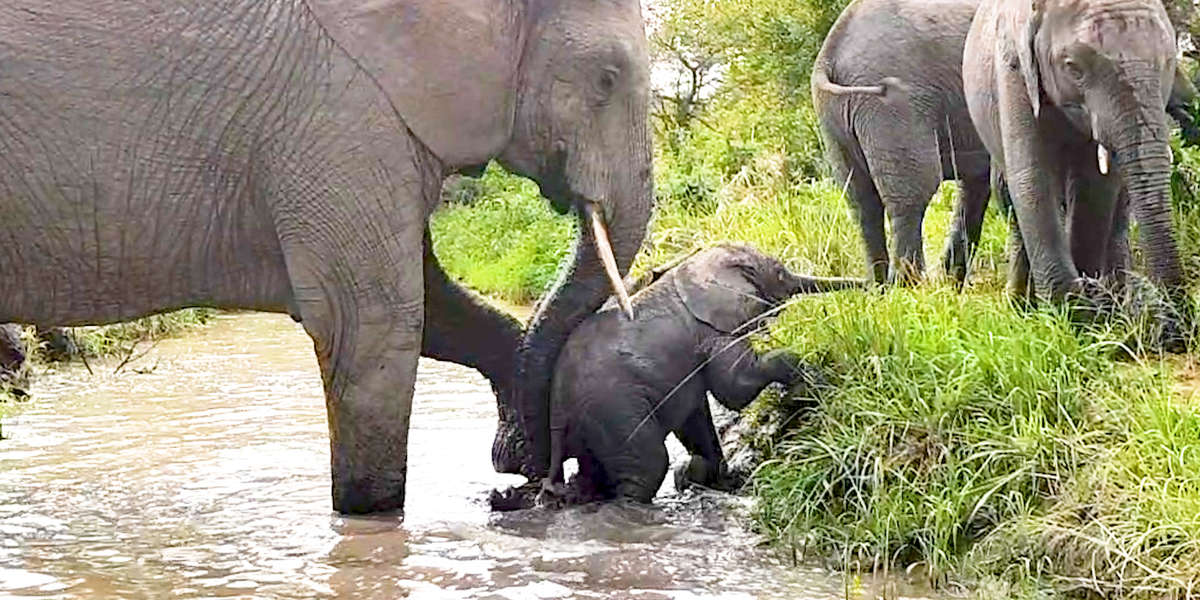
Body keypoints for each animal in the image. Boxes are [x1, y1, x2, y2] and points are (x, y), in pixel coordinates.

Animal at [0, 0, 654, 514]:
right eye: (605, 79)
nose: (541, 479)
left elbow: (435, 308)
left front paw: (522, 464)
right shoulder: (335, 109)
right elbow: (377, 323)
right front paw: (371, 515)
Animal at [541, 244, 865, 503]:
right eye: (780, 274)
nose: (872, 286)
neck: (693, 267)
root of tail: (557, 408)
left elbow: (697, 418)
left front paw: (709, 478)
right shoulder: (711, 331)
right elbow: (734, 389)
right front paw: (810, 377)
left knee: (593, 475)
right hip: (612, 407)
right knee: (648, 466)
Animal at [962, 0, 1186, 310]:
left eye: (1167, 63)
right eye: (1073, 68)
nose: (1180, 320)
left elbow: (1093, 189)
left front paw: (1084, 316)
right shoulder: (1014, 74)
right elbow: (1033, 180)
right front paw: (1067, 316)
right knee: (1009, 197)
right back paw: (1022, 306)